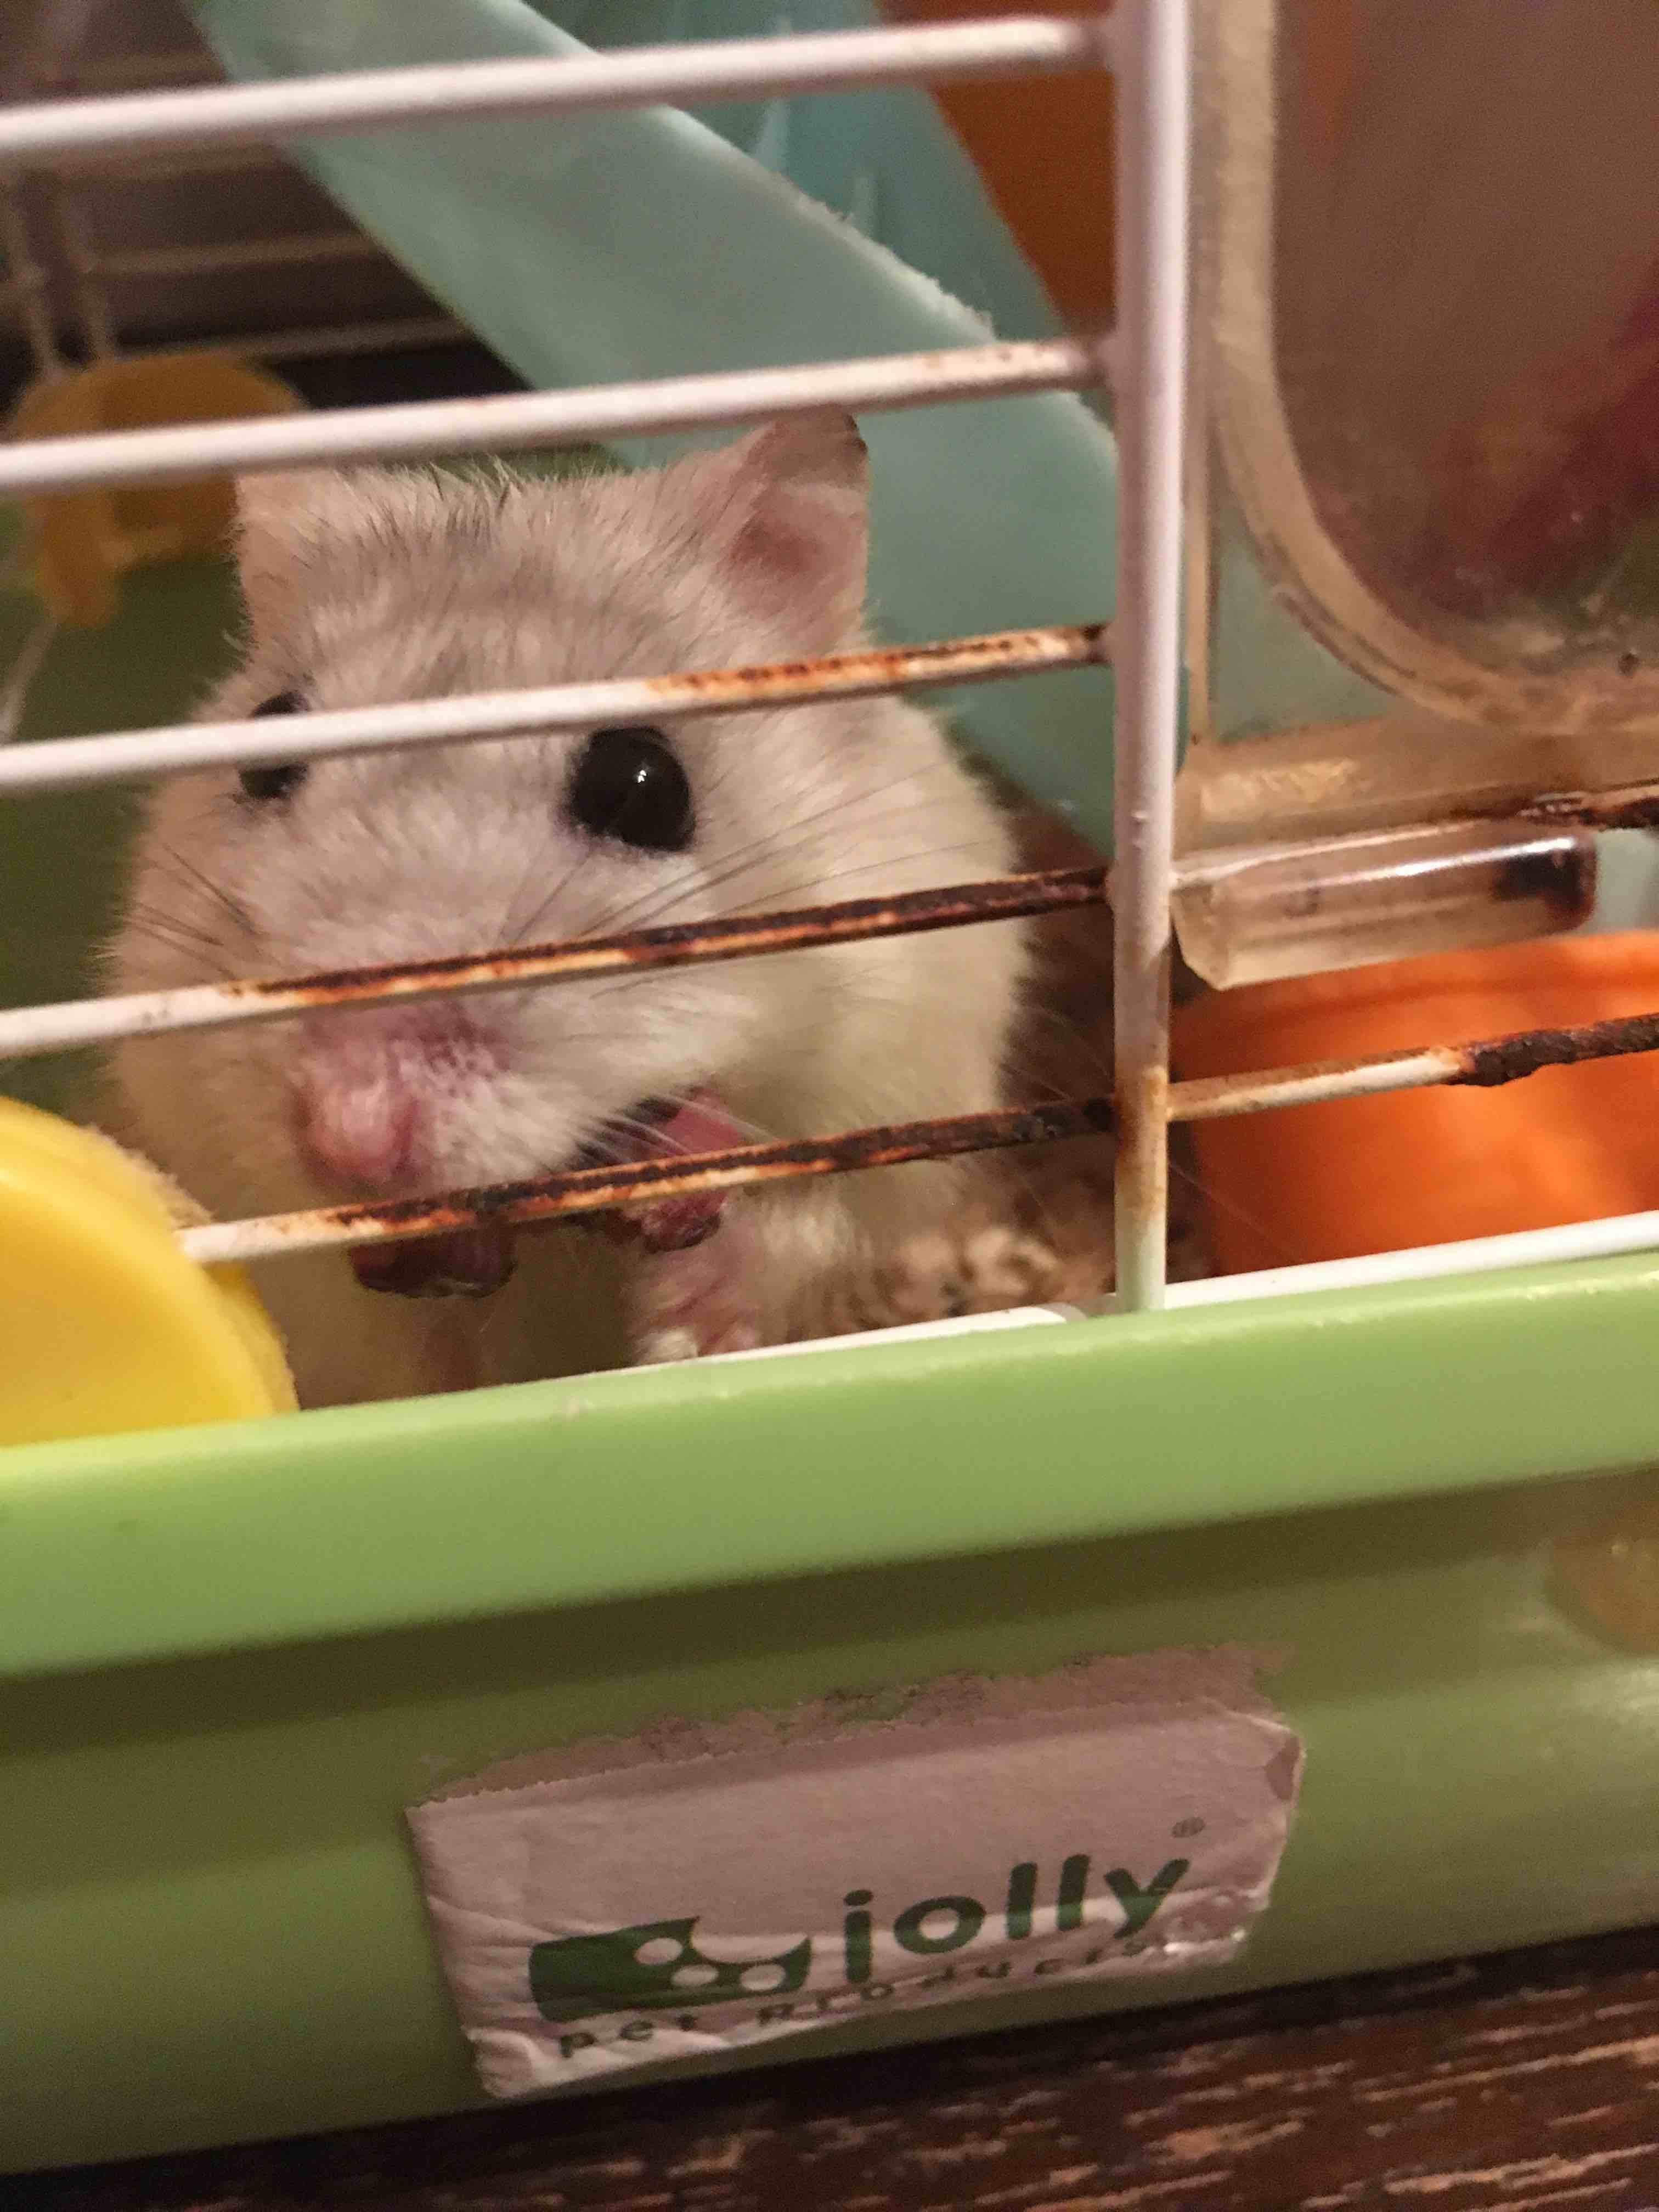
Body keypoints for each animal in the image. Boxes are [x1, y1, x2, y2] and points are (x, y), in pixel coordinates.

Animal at [101, 412, 1031, 1408]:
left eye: (644, 788)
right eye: (263, 755)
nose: (347, 1139)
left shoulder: (899, 1074)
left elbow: (787, 1225)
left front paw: (680, 1338)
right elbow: (401, 1334)